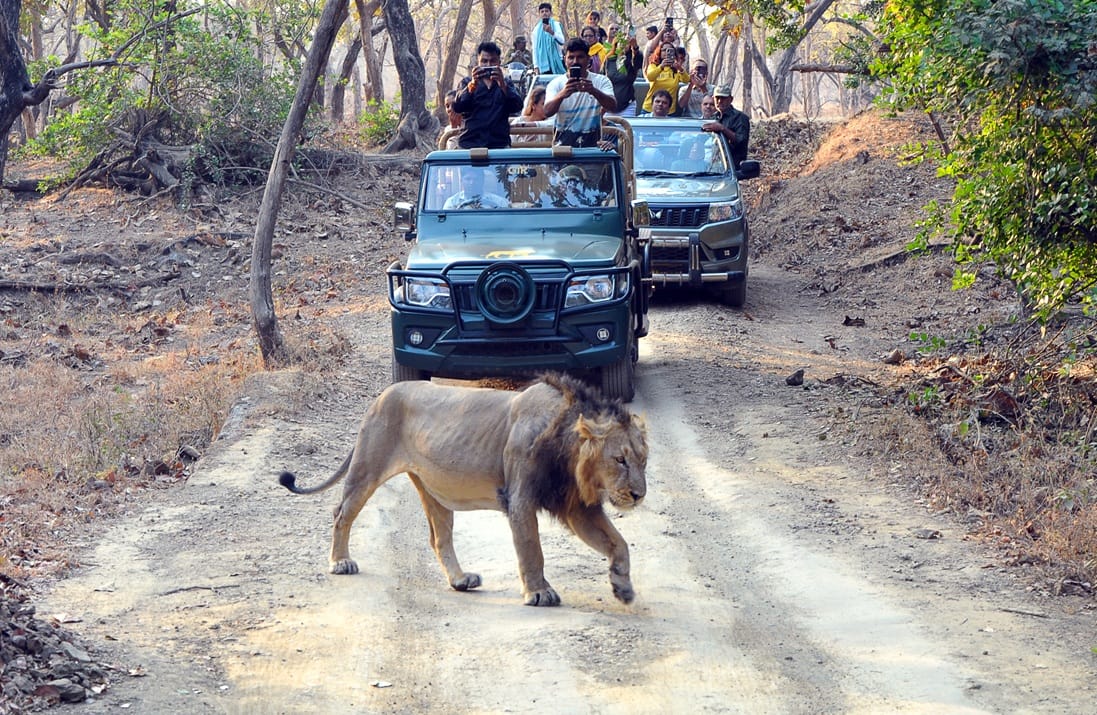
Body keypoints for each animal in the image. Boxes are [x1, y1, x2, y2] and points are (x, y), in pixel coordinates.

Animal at [278, 373, 648, 607]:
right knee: (341, 512)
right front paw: (539, 593)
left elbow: (618, 543)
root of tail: (381, 395)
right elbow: (532, 550)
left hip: (433, 490)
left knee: (438, 538)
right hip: (368, 466)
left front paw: (623, 587)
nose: (638, 495)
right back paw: (340, 562)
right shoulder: (519, 498)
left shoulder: (576, 508)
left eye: (643, 460)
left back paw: (459, 580)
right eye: (619, 460)